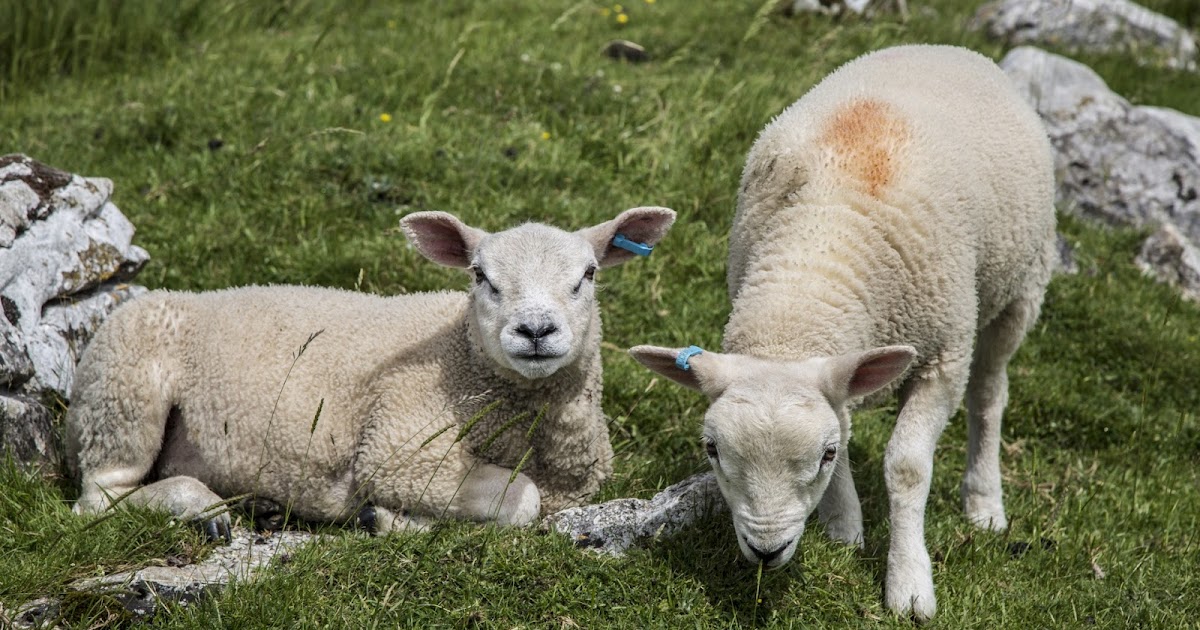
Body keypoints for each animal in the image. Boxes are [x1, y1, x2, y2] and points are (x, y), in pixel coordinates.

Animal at [66, 206, 676, 541]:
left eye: (588, 274)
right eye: (481, 276)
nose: (535, 330)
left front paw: (387, 520)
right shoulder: (400, 448)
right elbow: (520, 499)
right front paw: (383, 518)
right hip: (121, 390)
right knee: (100, 495)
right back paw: (201, 508)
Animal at [629, 44, 1055, 620]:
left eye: (823, 456)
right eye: (712, 451)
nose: (766, 551)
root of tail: (938, 47)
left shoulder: (944, 357)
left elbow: (907, 467)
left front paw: (910, 584)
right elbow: (848, 425)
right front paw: (844, 528)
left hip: (1020, 288)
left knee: (989, 392)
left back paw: (984, 501)